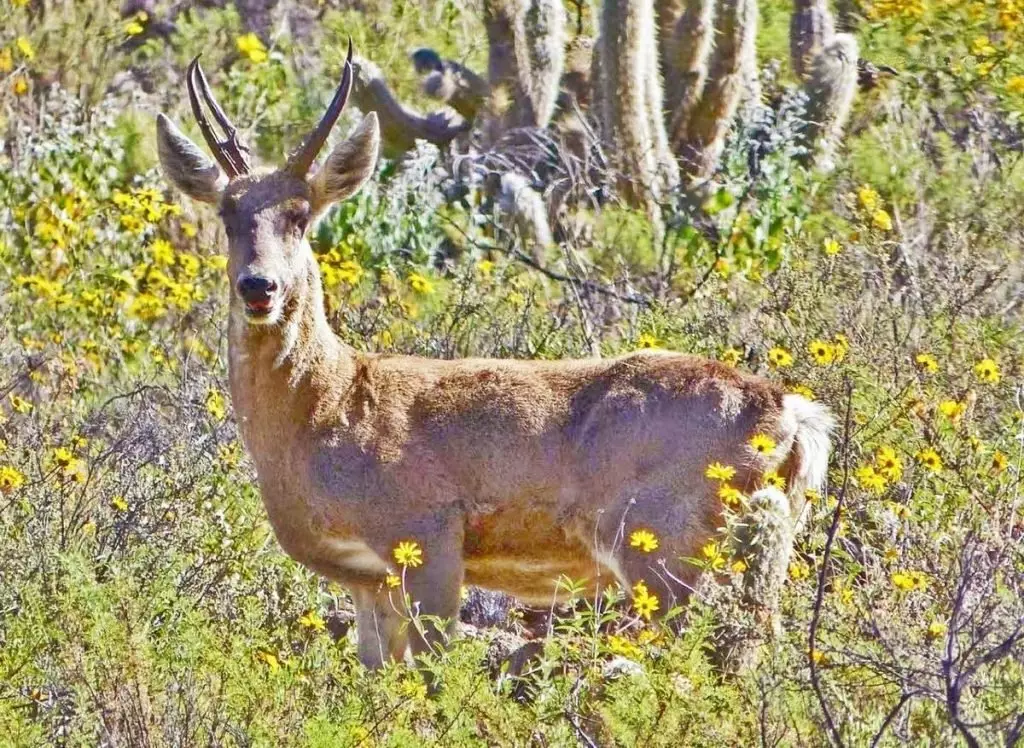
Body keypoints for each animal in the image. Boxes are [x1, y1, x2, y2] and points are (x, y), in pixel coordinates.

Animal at [155, 43, 835, 668]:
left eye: (300, 215)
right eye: (228, 213)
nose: (259, 286)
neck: (329, 406)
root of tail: (790, 414)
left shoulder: (428, 535)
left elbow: (430, 675)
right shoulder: (368, 580)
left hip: (663, 542)